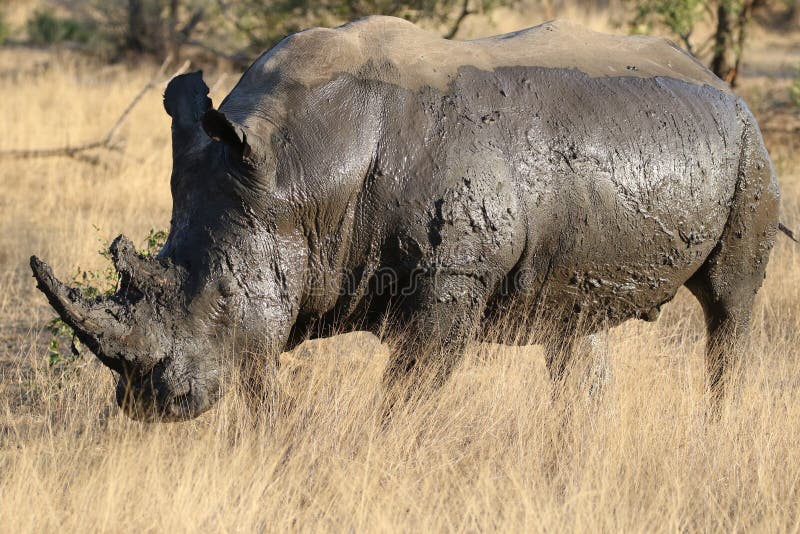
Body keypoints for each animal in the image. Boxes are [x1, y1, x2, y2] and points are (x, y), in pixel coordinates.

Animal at [31, 17, 780, 421]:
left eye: (213, 295)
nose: (148, 406)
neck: (296, 174)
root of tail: (720, 85)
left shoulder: (454, 273)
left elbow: (408, 393)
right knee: (572, 320)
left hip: (750, 148)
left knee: (729, 304)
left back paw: (717, 421)